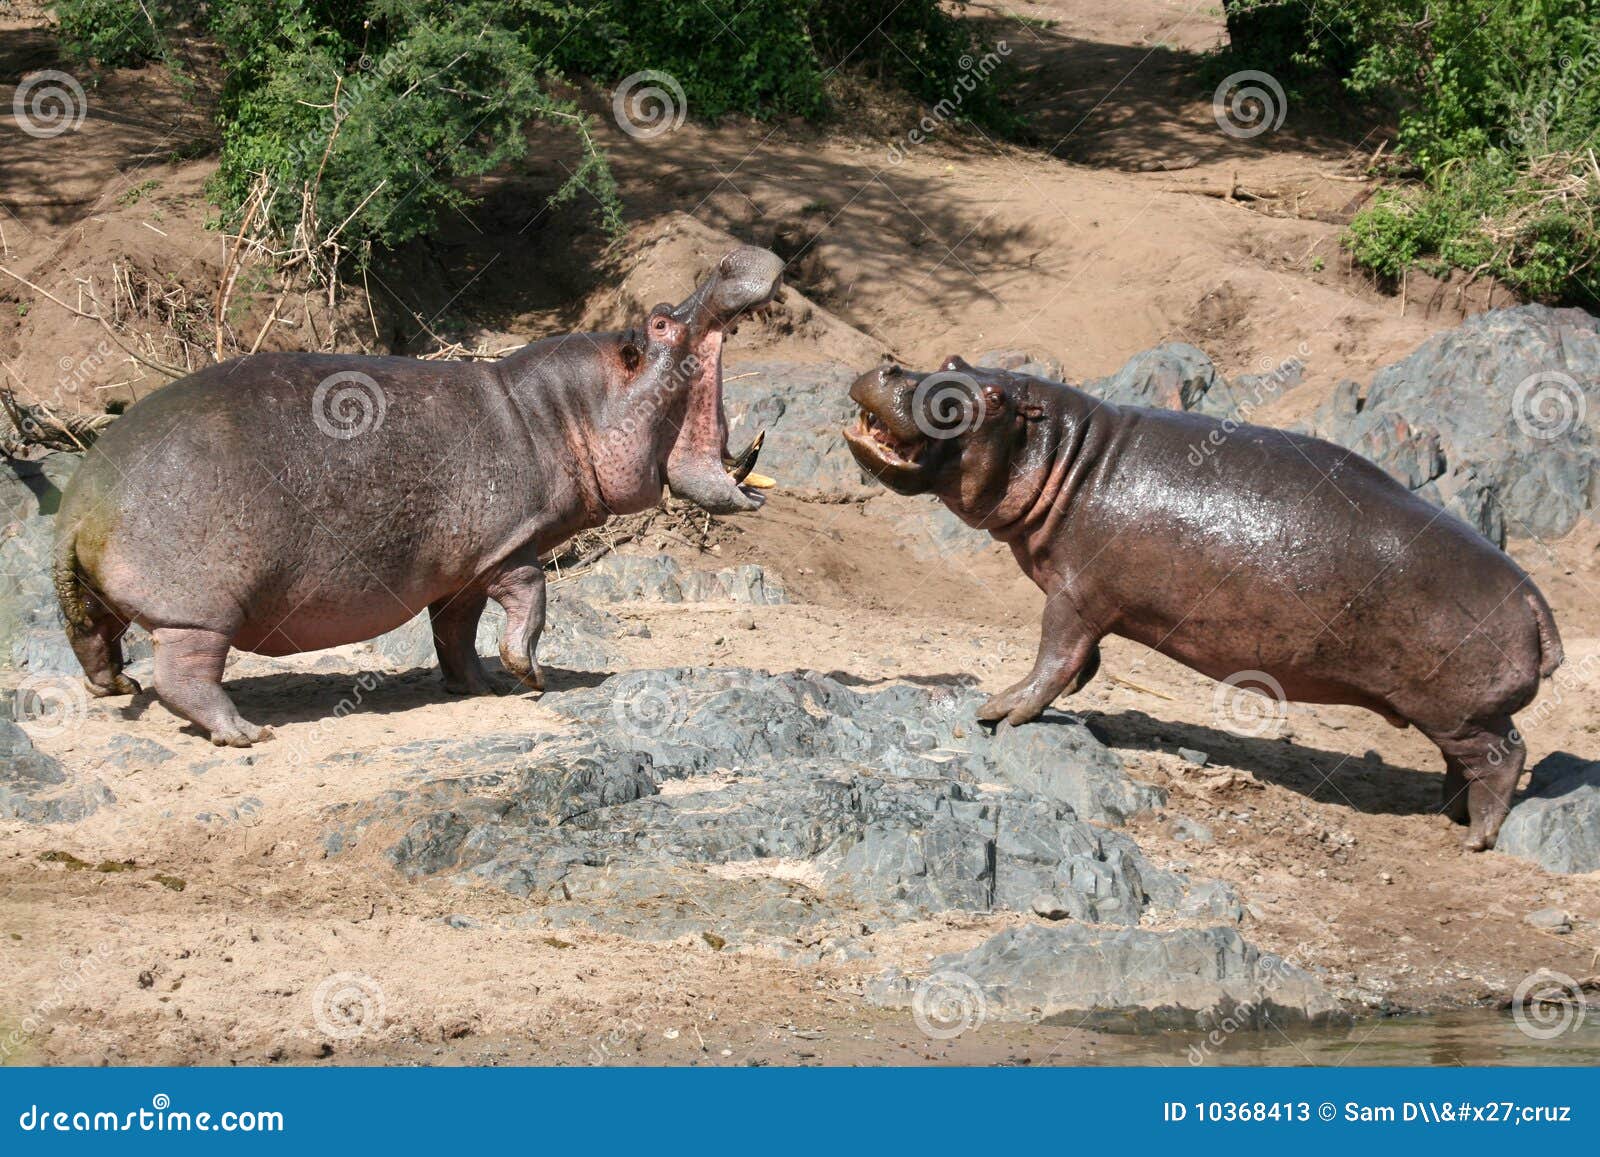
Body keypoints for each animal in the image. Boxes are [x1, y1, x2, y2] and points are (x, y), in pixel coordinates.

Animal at [54, 247, 785, 746]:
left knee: (94, 637)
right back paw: (244, 733)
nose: (734, 257)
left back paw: (118, 686)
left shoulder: (460, 570)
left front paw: (479, 686)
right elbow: (532, 600)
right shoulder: (507, 546)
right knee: (185, 674)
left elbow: (454, 631)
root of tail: (81, 502)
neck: (561, 410)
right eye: (660, 324)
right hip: (200, 609)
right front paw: (529, 677)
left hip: (100, 593)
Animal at [844, 356, 1564, 851]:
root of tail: (1535, 598)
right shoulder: (1090, 604)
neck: (1070, 458)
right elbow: (1081, 660)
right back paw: (1450, 814)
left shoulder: (1075, 595)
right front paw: (1066, 693)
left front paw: (999, 710)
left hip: (1461, 712)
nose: (893, 365)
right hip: (1453, 714)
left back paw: (1476, 838)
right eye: (955, 362)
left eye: (991, 398)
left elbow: (1051, 656)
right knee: (1466, 762)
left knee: (1506, 757)